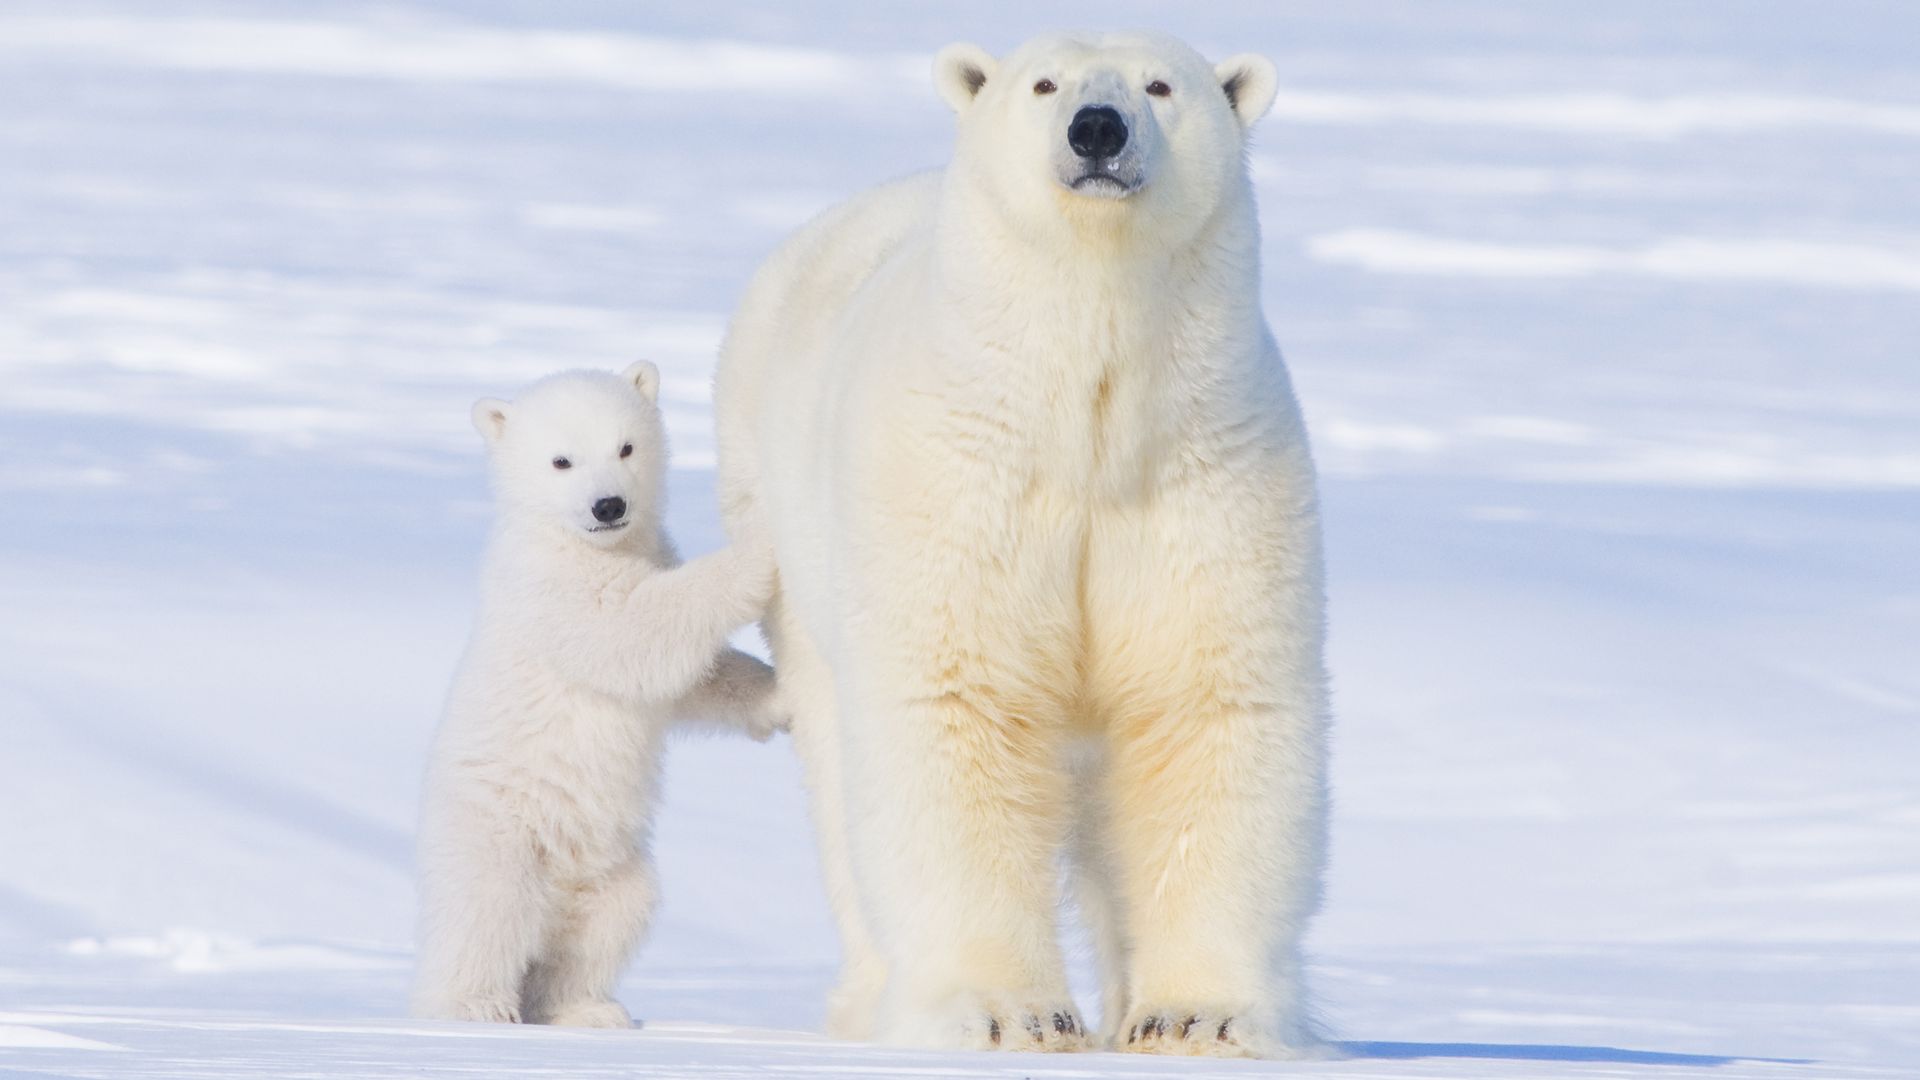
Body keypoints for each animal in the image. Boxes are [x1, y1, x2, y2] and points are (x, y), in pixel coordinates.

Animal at [411, 363, 784, 1029]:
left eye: (626, 447)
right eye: (562, 460)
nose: (609, 505)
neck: (577, 540)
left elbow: (689, 679)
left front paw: (777, 697)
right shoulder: (552, 590)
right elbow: (633, 629)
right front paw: (759, 549)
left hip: (612, 865)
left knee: (610, 919)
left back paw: (586, 1008)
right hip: (497, 826)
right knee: (487, 910)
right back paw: (474, 1006)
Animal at [713, 32, 1328, 1058]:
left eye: (1161, 84)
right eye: (1044, 83)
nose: (1097, 128)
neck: (1084, 420)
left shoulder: (1204, 476)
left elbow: (1203, 706)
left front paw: (1194, 1015)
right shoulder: (960, 480)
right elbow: (956, 704)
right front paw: (1012, 1014)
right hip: (783, 532)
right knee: (839, 775)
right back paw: (871, 999)